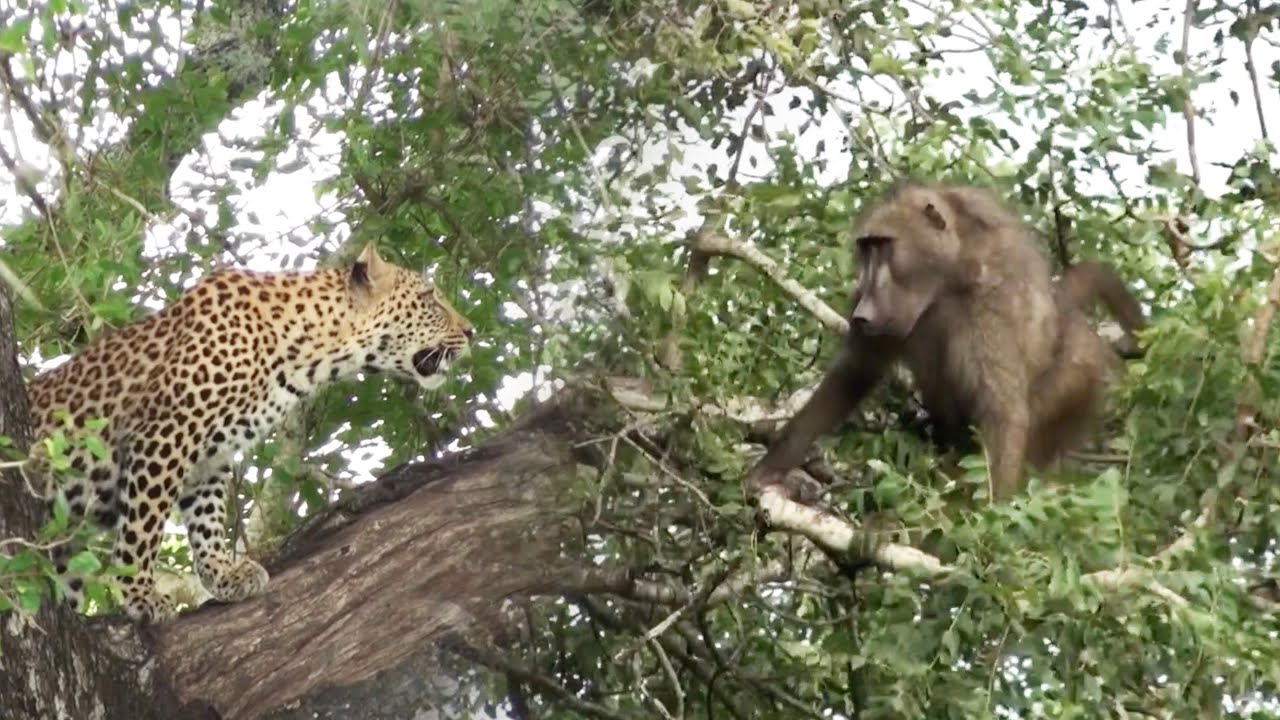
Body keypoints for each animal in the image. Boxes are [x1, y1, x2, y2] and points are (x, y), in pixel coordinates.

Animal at [26, 244, 474, 622]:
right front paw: (139, 593)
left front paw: (223, 575)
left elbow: (207, 519)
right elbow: (144, 525)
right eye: (430, 299)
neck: (311, 354)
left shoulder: (209, 458)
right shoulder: (167, 433)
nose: (470, 331)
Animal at [745, 181, 1147, 503]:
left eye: (884, 245)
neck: (946, 277)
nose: (862, 311)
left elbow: (1003, 413)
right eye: (867, 247)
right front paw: (766, 472)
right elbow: (852, 375)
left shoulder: (990, 304)